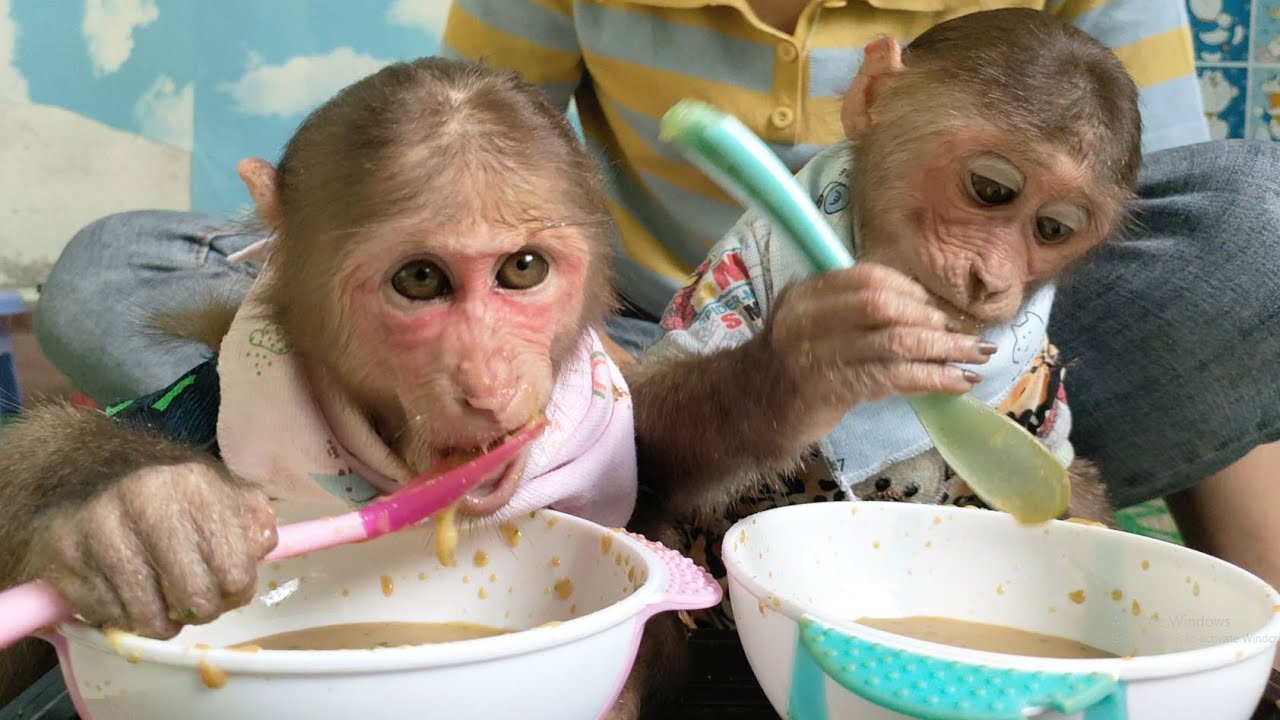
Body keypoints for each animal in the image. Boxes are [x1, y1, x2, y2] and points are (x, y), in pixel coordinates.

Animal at [614, 8, 1142, 718]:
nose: (991, 280)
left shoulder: (1035, 371)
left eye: (1052, 230)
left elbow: (1057, 468)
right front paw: (813, 359)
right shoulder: (732, 274)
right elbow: (651, 439)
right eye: (992, 190)